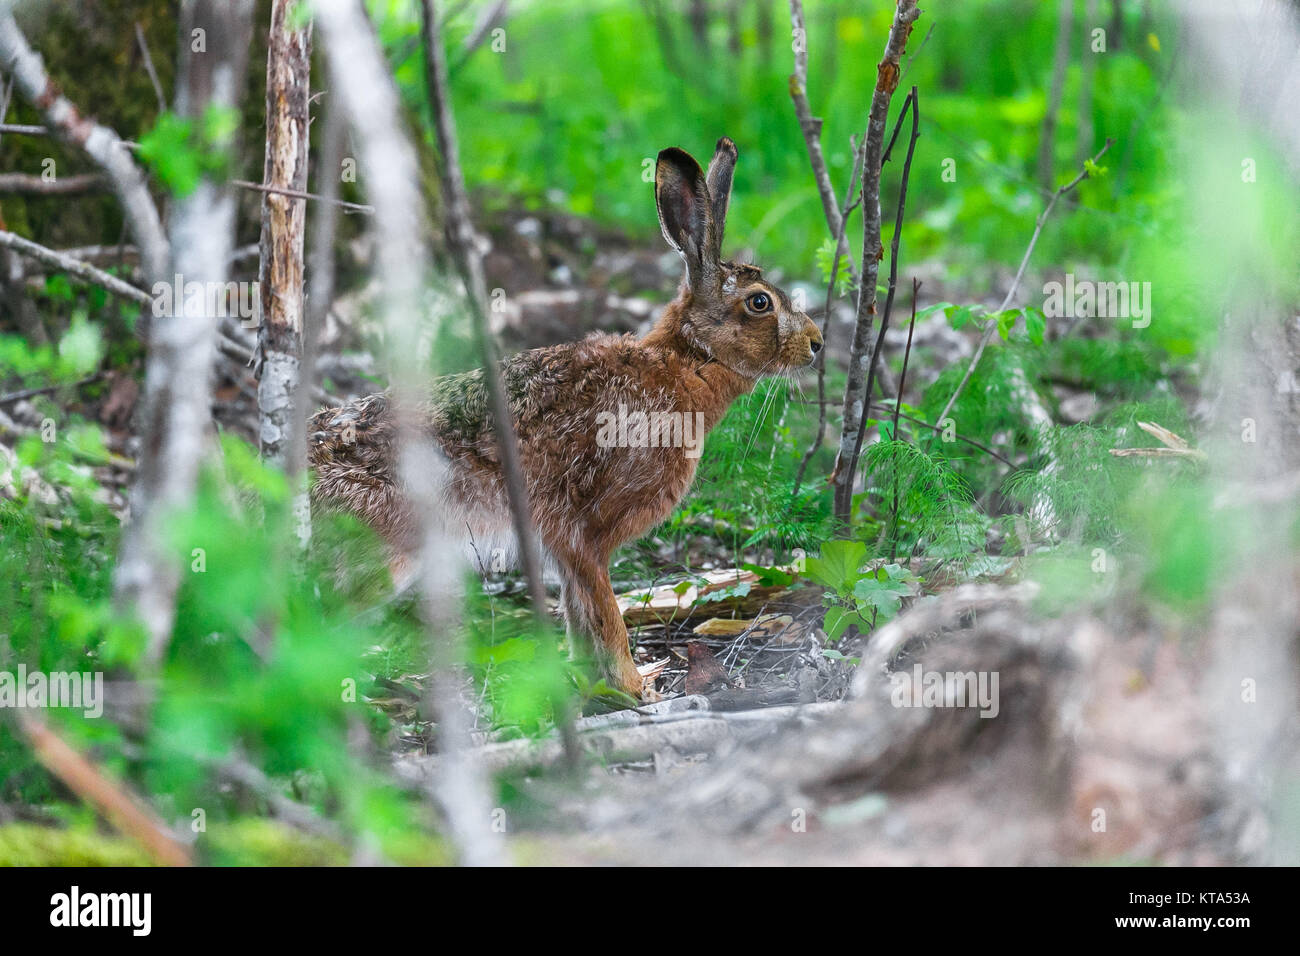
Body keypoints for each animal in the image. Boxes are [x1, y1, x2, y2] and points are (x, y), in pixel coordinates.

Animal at [308, 138, 823, 698]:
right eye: (760, 303)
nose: (816, 343)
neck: (685, 361)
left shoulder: (563, 545)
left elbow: (578, 616)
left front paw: (587, 681)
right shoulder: (585, 533)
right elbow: (605, 615)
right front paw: (638, 688)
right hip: (385, 552)